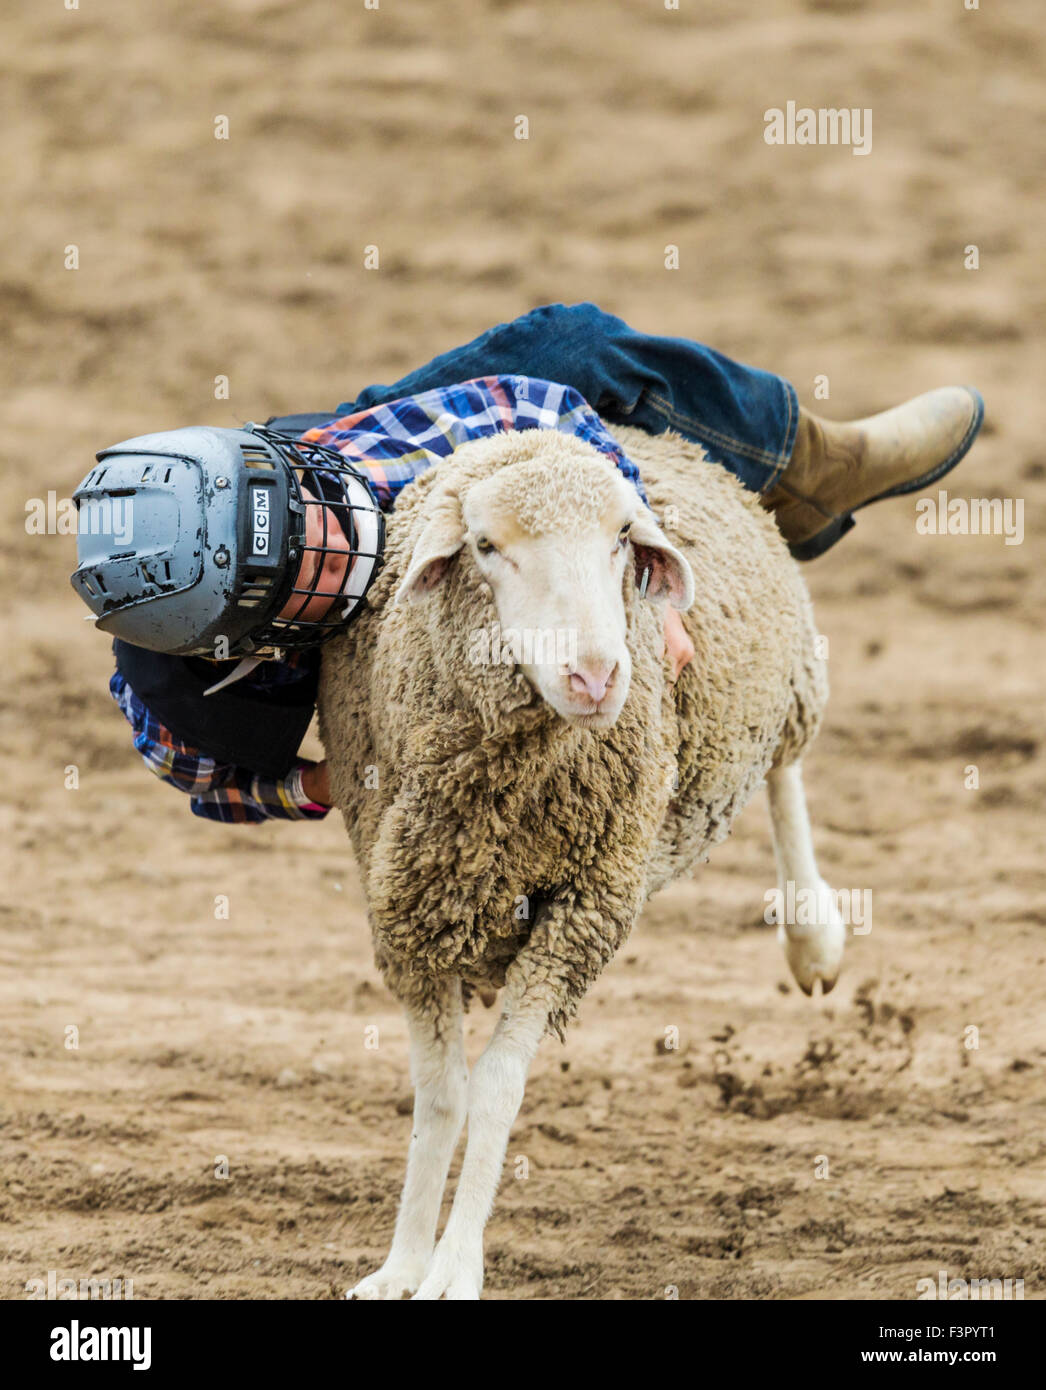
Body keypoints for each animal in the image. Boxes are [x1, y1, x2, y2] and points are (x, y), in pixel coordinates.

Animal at [317, 421, 845, 1300]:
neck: (502, 805)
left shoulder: (580, 914)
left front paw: (454, 1269)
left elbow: (497, 1089)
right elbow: (440, 1095)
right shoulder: (409, 907)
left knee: (785, 768)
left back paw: (814, 938)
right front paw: (402, 1264)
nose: (596, 676)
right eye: (486, 546)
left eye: (621, 540)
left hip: (785, 680)